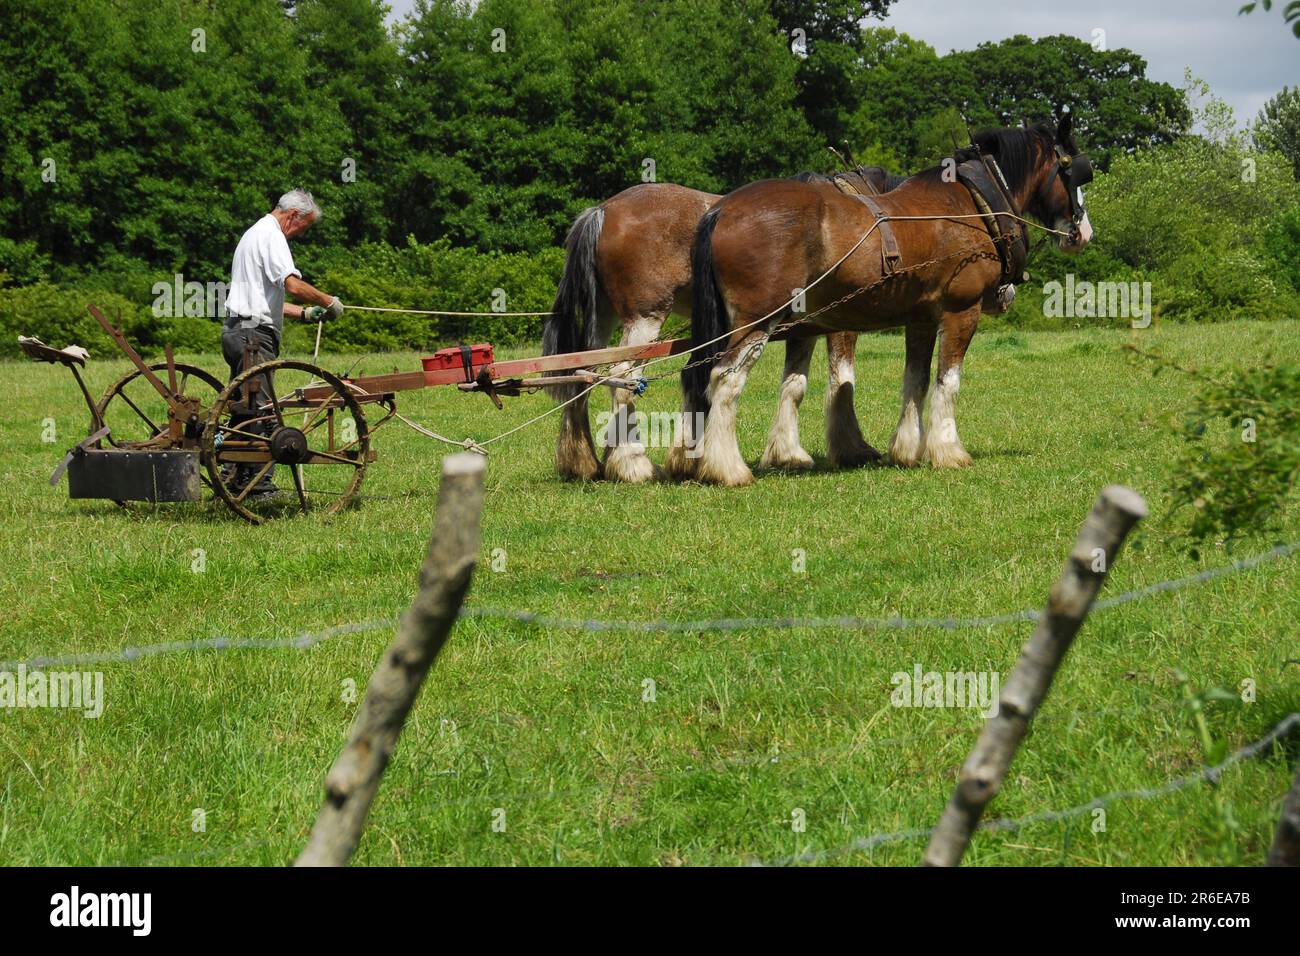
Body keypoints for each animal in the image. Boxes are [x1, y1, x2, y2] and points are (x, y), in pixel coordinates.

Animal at [542, 167, 906, 483]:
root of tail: (602, 210)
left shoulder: (800, 327)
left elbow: (794, 385)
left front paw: (785, 454)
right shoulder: (839, 323)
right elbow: (842, 380)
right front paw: (852, 449)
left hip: (604, 320)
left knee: (582, 373)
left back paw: (584, 462)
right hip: (646, 319)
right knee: (622, 378)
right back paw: (634, 464)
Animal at [664, 115, 1094, 486]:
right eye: (1076, 172)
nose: (1083, 232)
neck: (973, 205)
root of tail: (722, 209)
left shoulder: (921, 317)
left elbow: (916, 380)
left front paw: (907, 449)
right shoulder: (961, 309)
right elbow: (948, 382)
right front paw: (948, 450)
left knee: (695, 374)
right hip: (756, 321)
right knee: (724, 379)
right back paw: (727, 468)